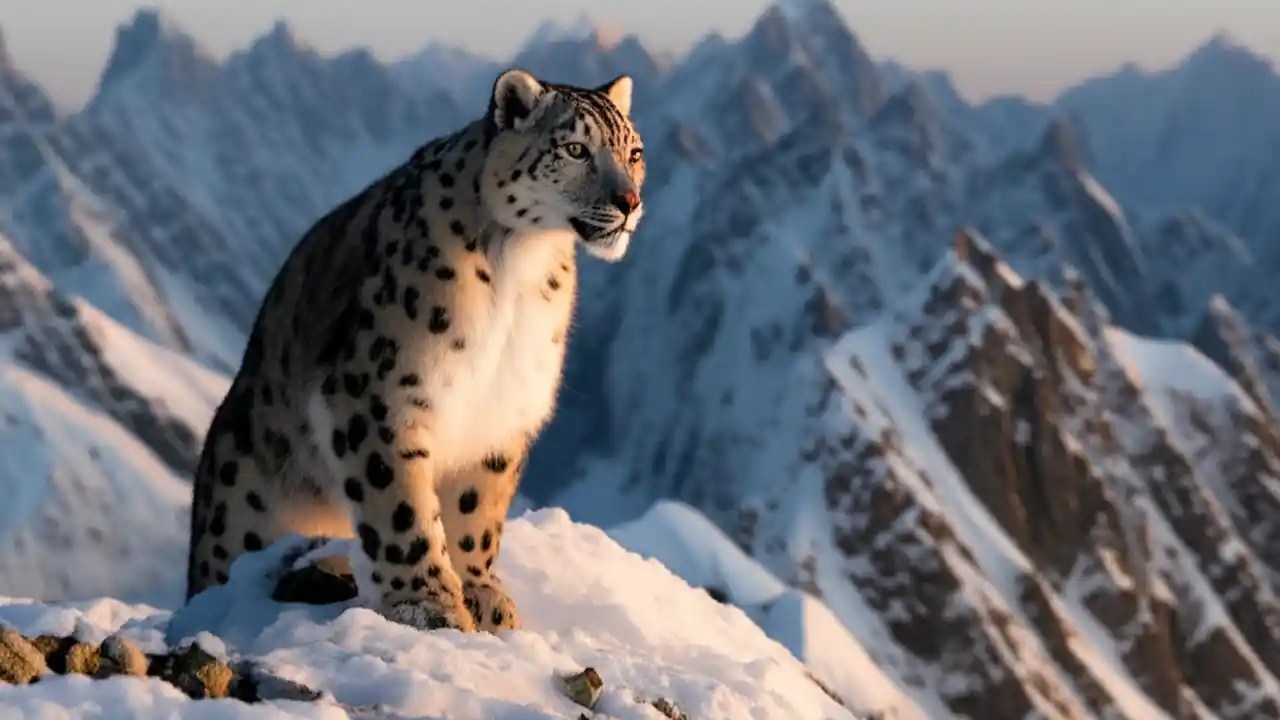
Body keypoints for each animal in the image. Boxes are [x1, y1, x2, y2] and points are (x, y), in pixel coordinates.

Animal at [185, 68, 645, 633]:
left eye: (634, 153)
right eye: (576, 149)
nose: (630, 202)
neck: (520, 267)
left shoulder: (502, 409)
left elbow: (476, 509)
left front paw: (484, 597)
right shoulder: (380, 397)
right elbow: (400, 505)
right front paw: (430, 606)